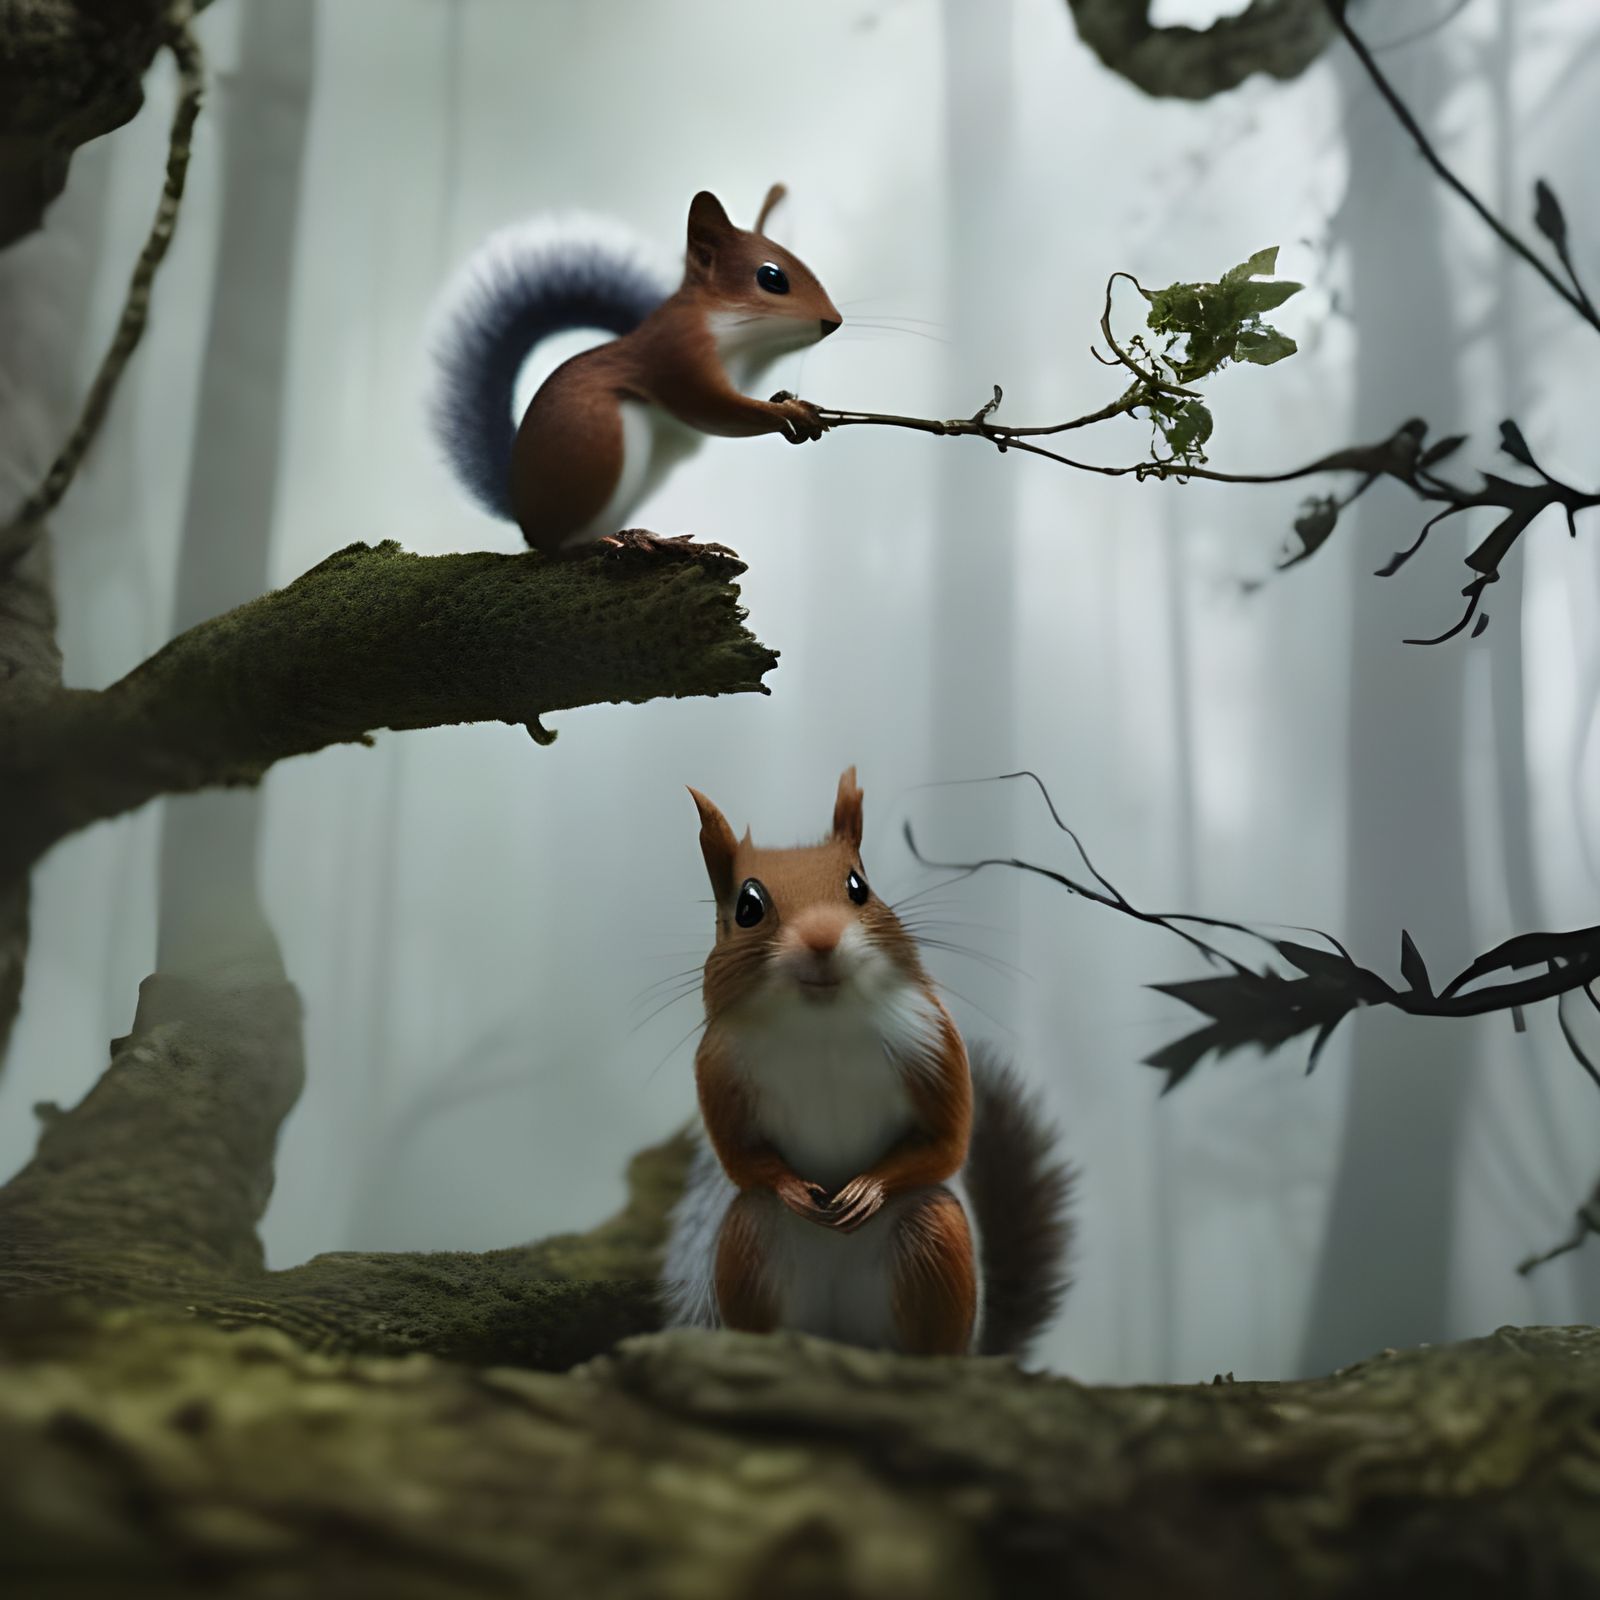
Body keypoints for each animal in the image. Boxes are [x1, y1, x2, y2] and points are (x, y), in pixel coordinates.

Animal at [428, 185, 840, 555]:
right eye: (772, 278)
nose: (833, 322)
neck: (742, 342)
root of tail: (524, 517)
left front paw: (788, 400)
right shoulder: (676, 355)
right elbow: (714, 409)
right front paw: (792, 414)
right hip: (599, 443)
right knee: (560, 546)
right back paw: (611, 542)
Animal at [661, 768, 1074, 1358]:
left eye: (859, 886)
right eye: (747, 907)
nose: (821, 938)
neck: (822, 1022)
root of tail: (843, 1339)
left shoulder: (931, 1041)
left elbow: (948, 1142)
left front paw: (865, 1191)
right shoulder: (718, 1066)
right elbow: (740, 1158)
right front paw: (797, 1190)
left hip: (933, 1239)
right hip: (749, 1239)